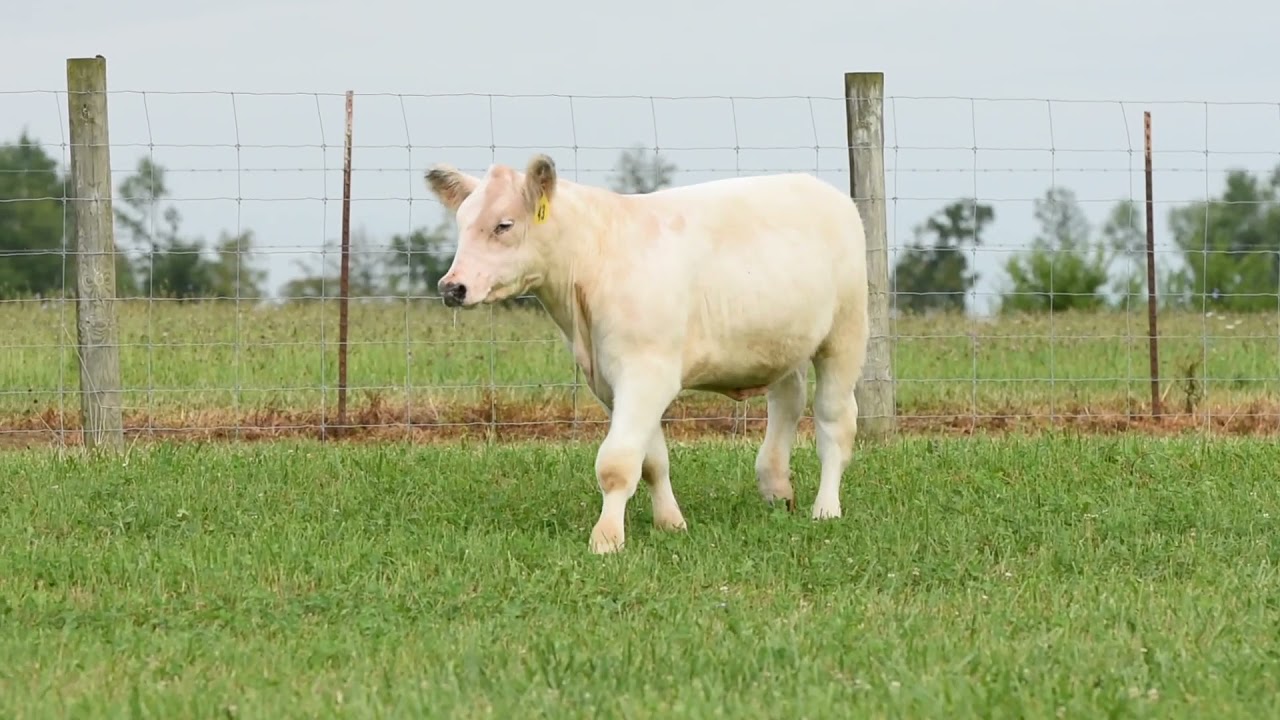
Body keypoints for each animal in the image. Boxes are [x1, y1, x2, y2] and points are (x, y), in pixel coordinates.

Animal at [424, 153, 870, 554]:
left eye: (504, 224)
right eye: (461, 223)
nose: (452, 287)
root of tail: (822, 188)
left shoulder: (645, 372)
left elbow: (617, 462)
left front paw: (606, 539)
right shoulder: (611, 382)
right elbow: (652, 460)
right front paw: (670, 522)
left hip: (845, 334)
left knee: (835, 421)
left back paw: (825, 508)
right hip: (781, 342)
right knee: (788, 401)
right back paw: (776, 488)